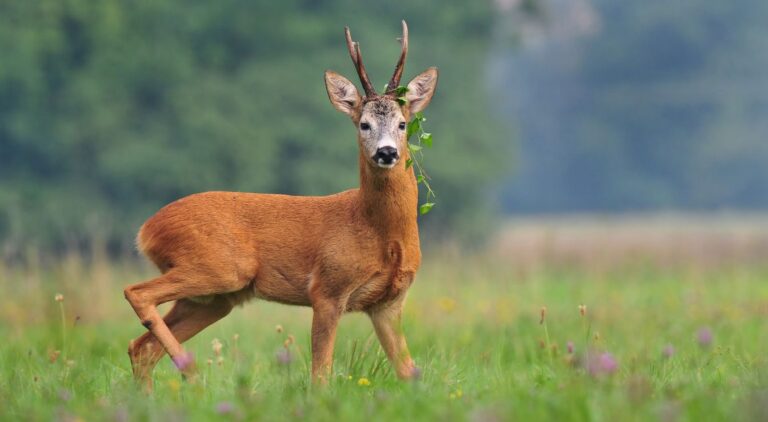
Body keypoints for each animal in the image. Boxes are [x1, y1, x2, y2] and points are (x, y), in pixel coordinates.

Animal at [123, 20, 438, 389]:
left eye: (402, 124)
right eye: (364, 124)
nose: (386, 152)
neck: (380, 232)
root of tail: (146, 230)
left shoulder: (388, 303)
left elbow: (408, 372)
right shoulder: (327, 289)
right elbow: (321, 373)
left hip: (214, 297)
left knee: (141, 347)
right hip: (220, 267)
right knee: (136, 294)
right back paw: (192, 372)